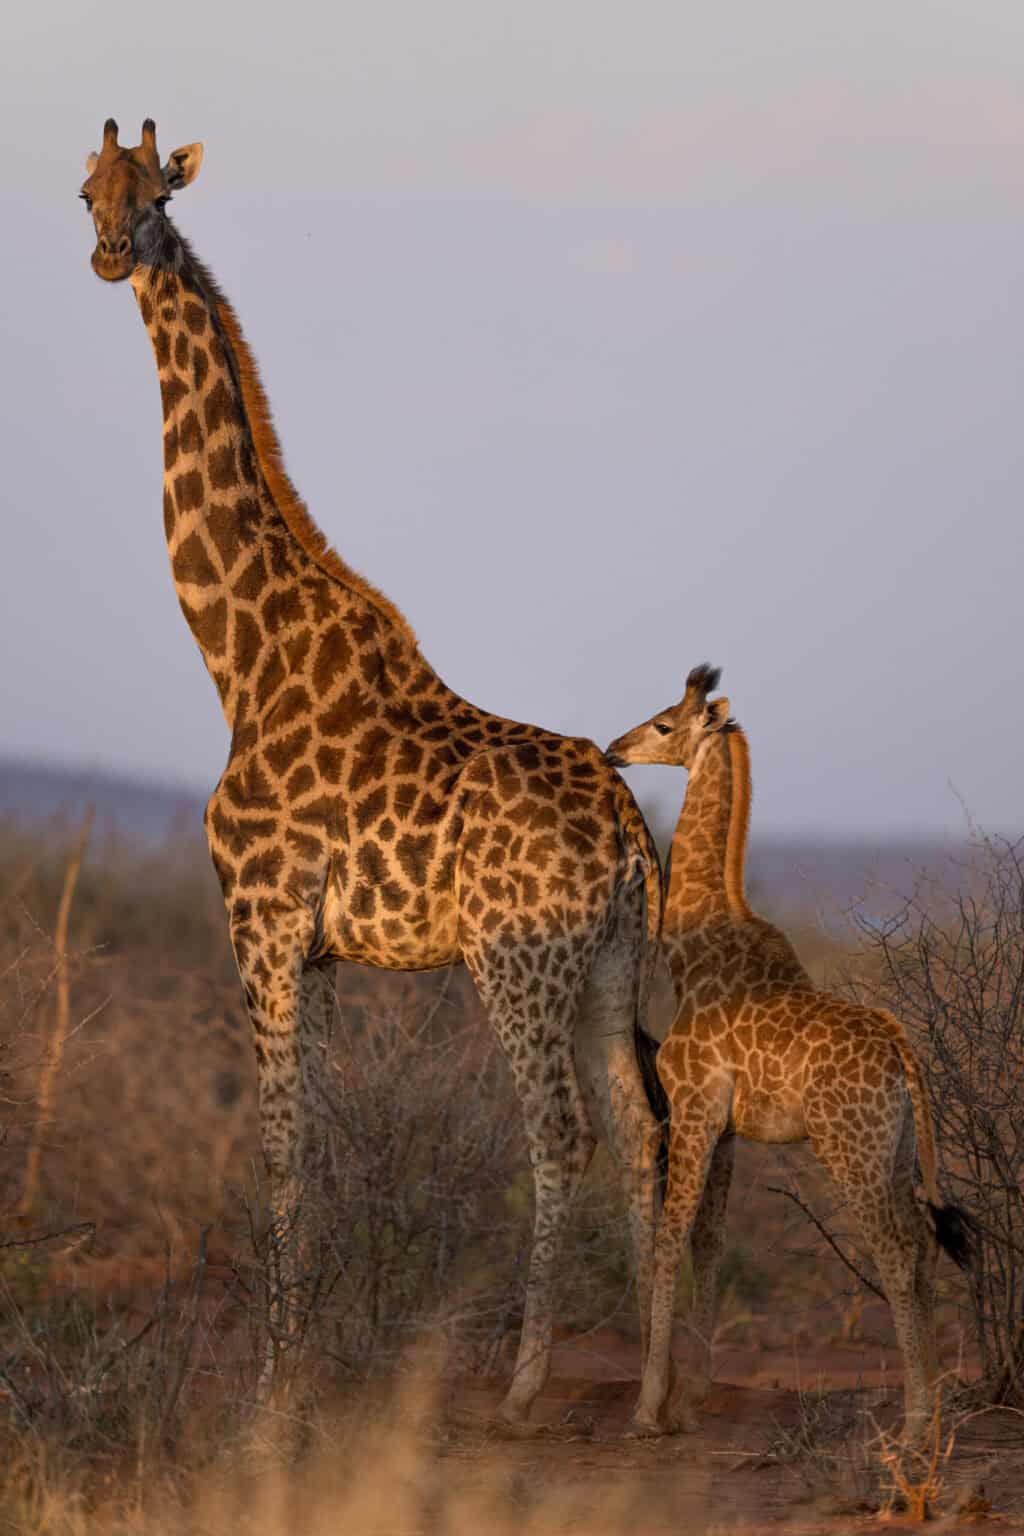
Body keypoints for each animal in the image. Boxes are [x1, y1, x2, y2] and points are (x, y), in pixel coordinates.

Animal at [79, 118, 666, 1425]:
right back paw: (659, 1391)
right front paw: (312, 1364)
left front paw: (267, 1396)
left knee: (562, 1134)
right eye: (84, 189)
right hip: (609, 963)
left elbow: (277, 1149)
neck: (237, 656)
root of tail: (628, 834)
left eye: (156, 197)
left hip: (518, 961)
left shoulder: (257, 920)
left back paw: (522, 1385)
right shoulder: (319, 948)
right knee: (646, 1130)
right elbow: (326, 1135)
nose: (108, 254)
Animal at [606, 664, 973, 1439]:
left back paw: (915, 1420)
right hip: (895, 1148)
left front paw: (649, 1408)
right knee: (923, 1245)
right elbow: (708, 1245)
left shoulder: (692, 1109)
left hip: (848, 1147)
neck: (692, 948)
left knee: (897, 1251)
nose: (615, 748)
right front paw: (690, 1399)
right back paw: (926, 1408)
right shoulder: (725, 1130)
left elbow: (668, 1241)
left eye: (663, 723)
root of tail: (904, 1054)